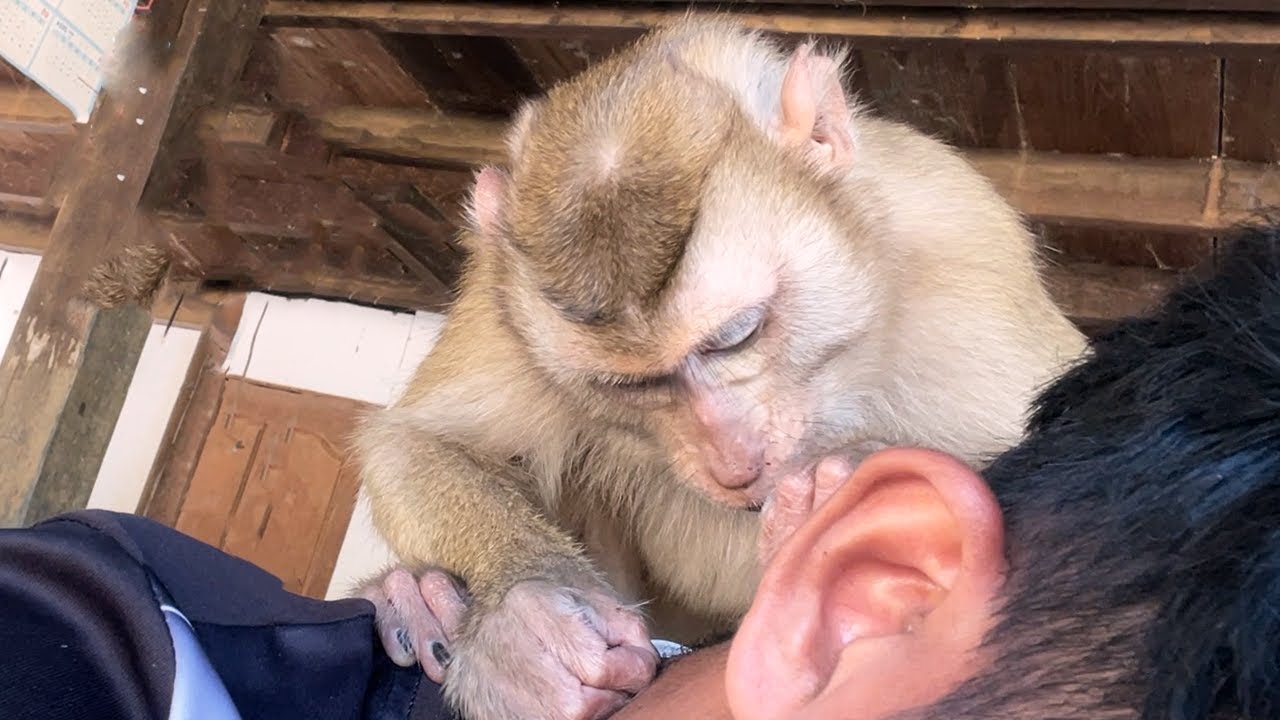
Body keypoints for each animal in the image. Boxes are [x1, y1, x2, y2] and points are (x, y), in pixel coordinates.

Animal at [352, 16, 1088, 720]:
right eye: (633, 384)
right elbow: (414, 443)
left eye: (736, 336)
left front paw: (837, 491)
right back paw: (417, 598)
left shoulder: (967, 272)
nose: (733, 464)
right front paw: (528, 615)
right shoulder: (502, 305)